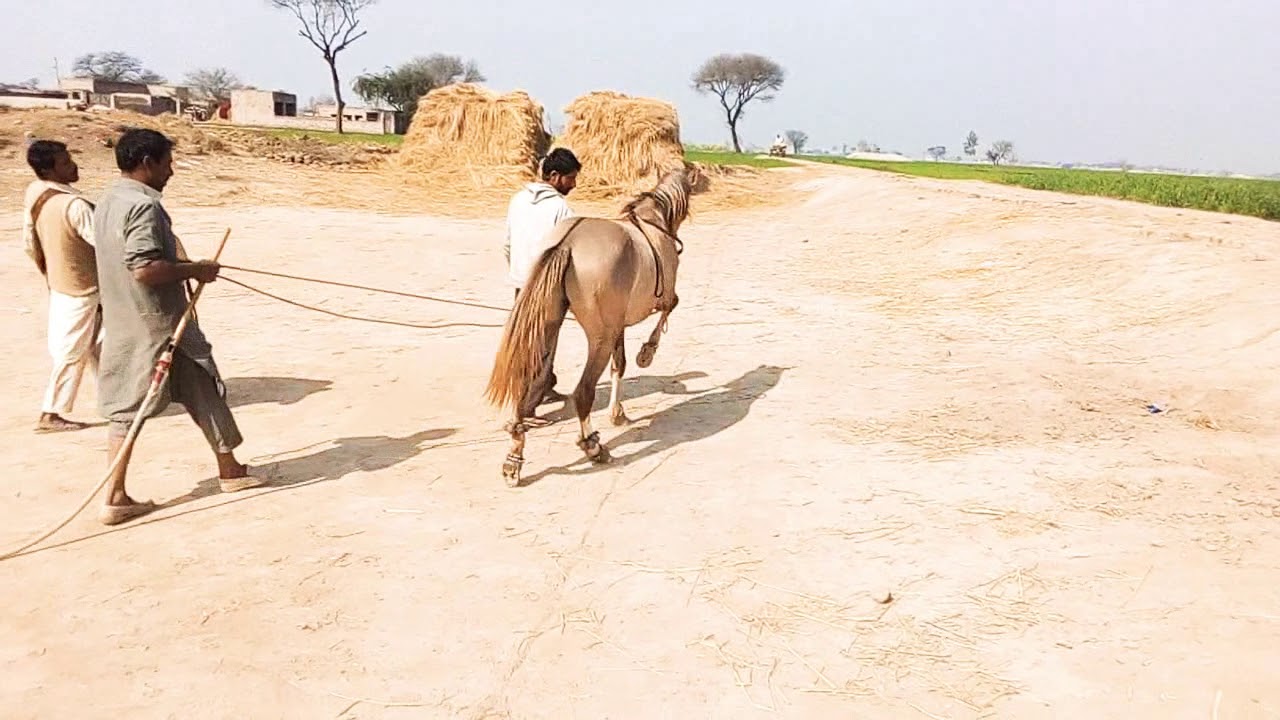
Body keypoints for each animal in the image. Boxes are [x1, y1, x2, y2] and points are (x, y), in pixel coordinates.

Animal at [484, 164, 697, 487]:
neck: (652, 221)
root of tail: (568, 243)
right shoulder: (662, 298)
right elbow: (668, 311)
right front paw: (646, 353)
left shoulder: (619, 325)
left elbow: (619, 366)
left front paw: (618, 413)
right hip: (599, 339)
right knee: (583, 392)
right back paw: (593, 447)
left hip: (547, 328)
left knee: (527, 382)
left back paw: (514, 459)